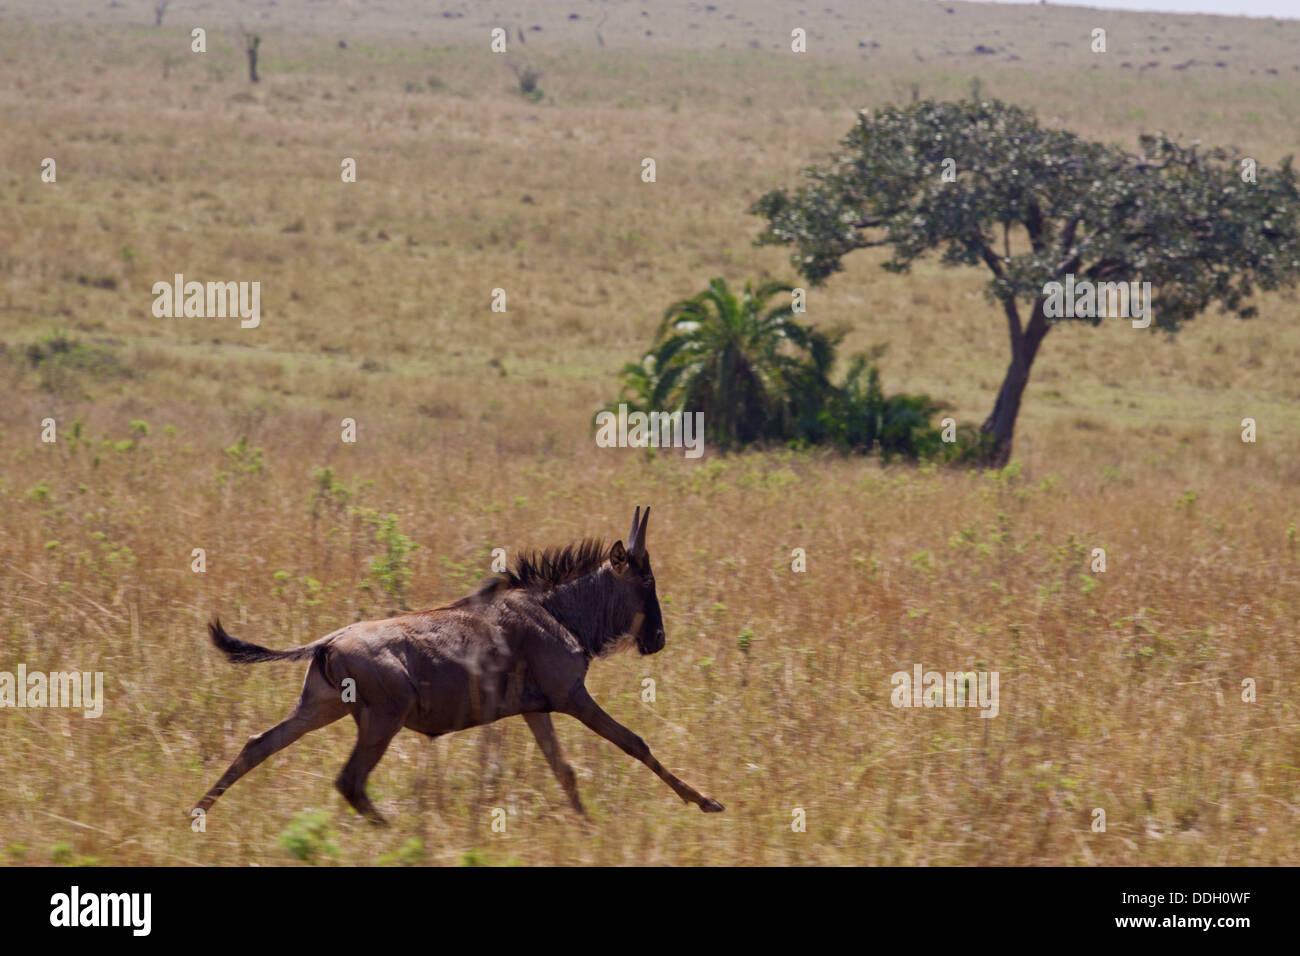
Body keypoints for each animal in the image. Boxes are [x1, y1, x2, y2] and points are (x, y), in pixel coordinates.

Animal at [193, 507, 723, 823]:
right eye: (647, 581)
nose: (658, 640)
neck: (557, 609)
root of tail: (327, 641)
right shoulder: (572, 696)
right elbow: (635, 742)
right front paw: (705, 801)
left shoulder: (538, 709)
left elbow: (565, 769)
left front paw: (586, 823)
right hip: (383, 717)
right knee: (350, 780)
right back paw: (390, 828)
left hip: (320, 708)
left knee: (258, 745)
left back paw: (197, 812)